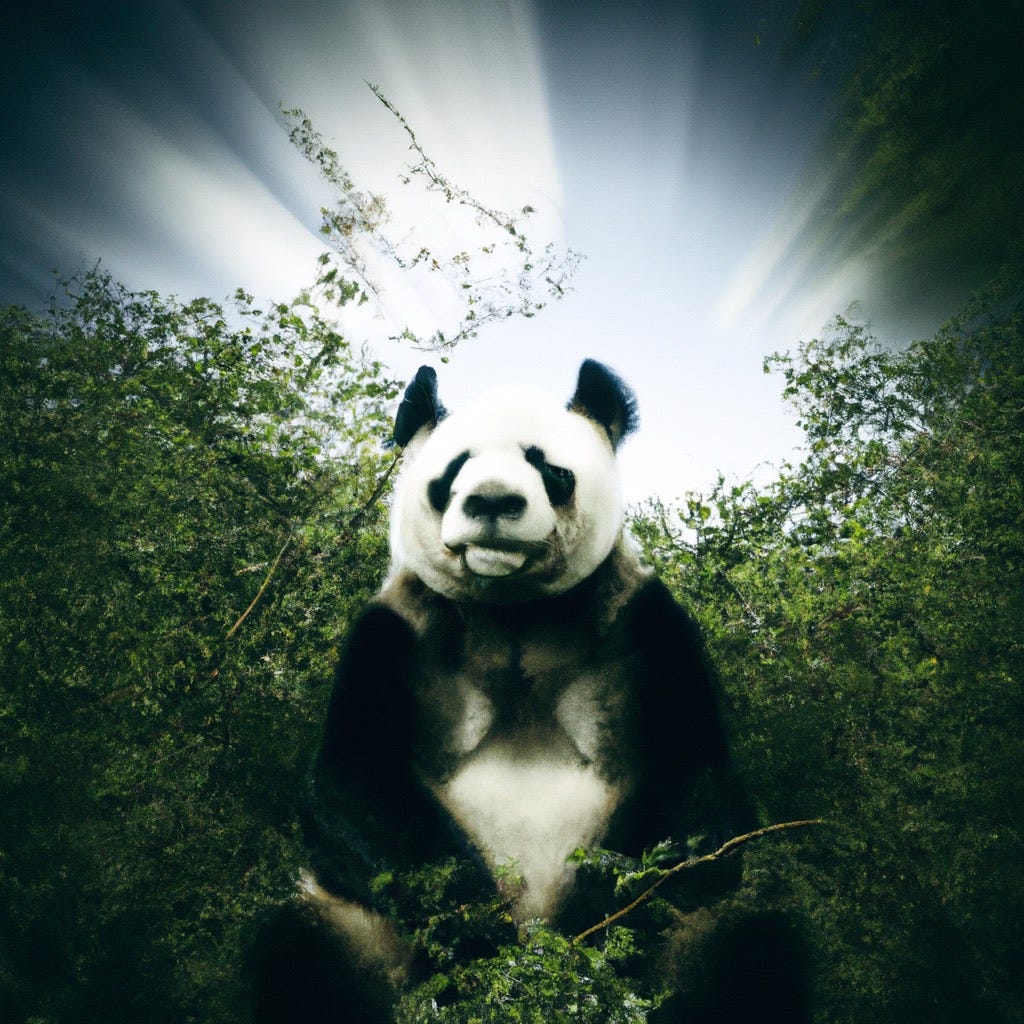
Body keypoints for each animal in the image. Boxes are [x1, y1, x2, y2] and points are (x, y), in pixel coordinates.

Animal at [252, 359, 809, 1023]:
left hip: (693, 942)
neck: (513, 613)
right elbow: (355, 788)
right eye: (454, 471)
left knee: (751, 942)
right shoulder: (393, 634)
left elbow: (692, 793)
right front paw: (482, 943)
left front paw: (588, 936)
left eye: (549, 468)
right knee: (296, 952)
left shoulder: (644, 623)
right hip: (365, 935)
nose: (493, 500)